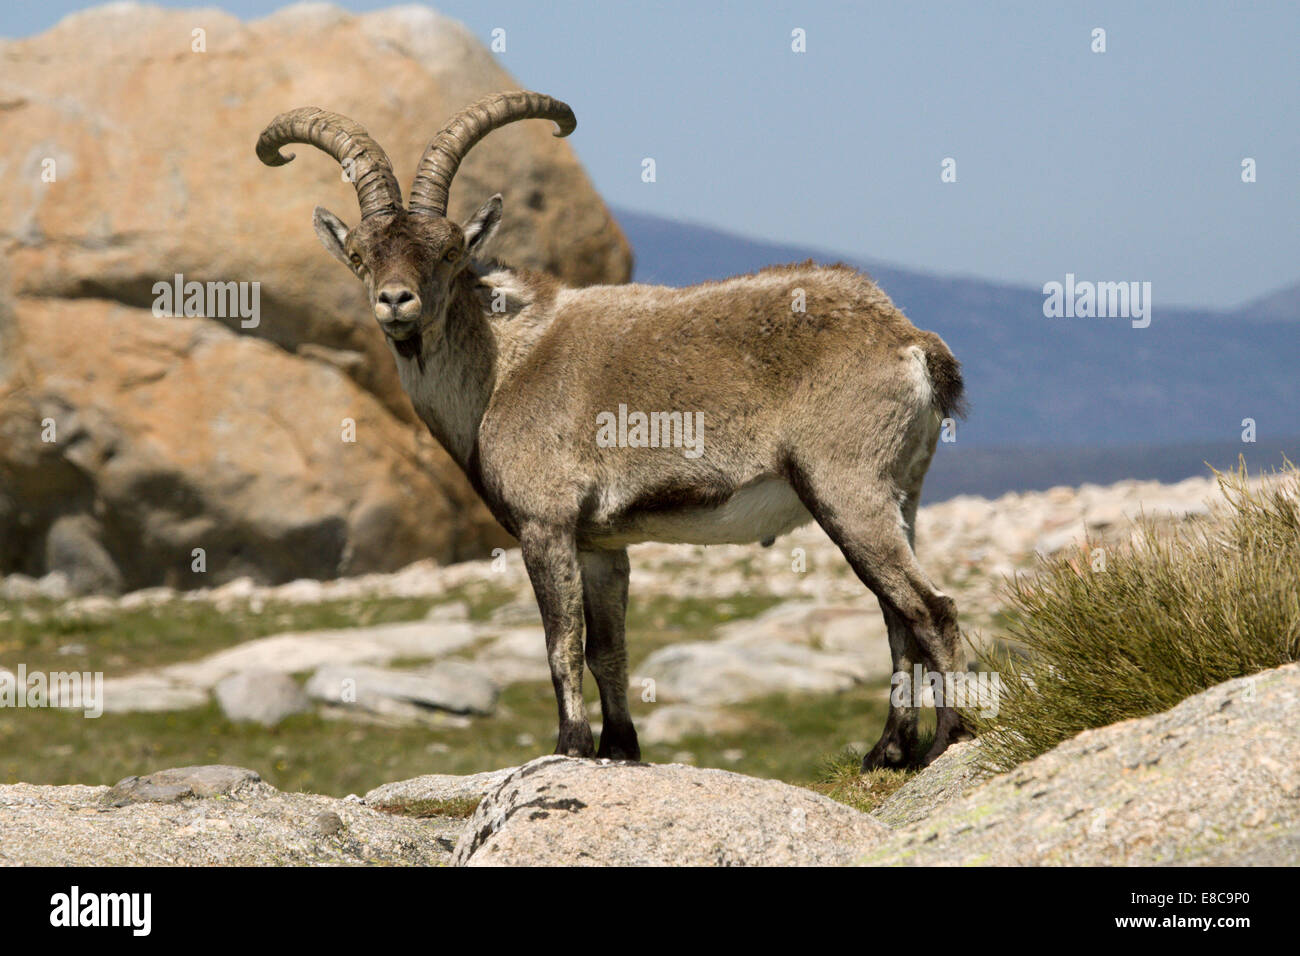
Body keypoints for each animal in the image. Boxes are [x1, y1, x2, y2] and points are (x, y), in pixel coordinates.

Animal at [257, 91, 972, 769]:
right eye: (360, 255)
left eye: (450, 250)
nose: (396, 301)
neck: (502, 367)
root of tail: (909, 340)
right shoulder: (602, 544)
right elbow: (608, 649)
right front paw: (619, 748)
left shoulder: (546, 524)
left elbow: (562, 643)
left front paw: (569, 746)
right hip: (900, 494)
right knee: (897, 615)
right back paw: (887, 752)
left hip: (845, 486)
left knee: (929, 607)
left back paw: (947, 743)